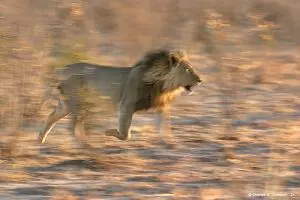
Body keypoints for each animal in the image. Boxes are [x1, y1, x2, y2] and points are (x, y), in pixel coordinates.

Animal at [37, 49, 202, 145]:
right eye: (188, 70)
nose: (200, 80)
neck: (163, 85)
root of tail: (61, 69)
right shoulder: (127, 104)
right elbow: (125, 133)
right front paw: (109, 132)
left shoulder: (161, 106)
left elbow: (164, 125)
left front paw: (168, 141)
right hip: (77, 102)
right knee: (72, 127)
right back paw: (84, 143)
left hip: (66, 104)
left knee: (51, 117)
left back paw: (40, 140)